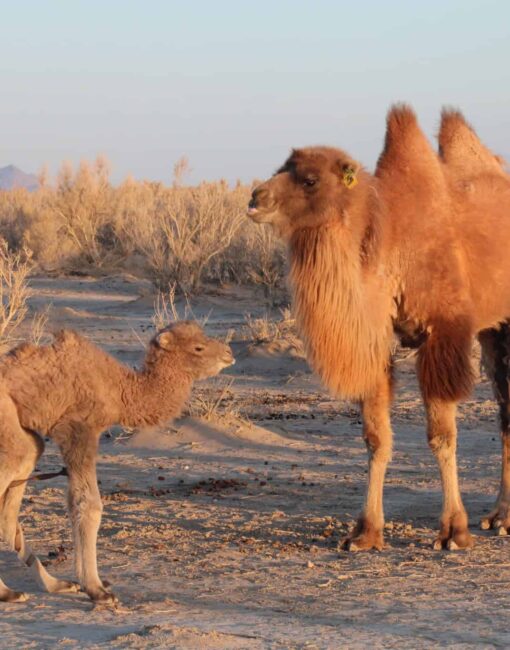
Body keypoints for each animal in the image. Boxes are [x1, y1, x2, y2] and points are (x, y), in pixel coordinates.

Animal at [0, 321, 234, 604]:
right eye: (198, 347)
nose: (229, 353)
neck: (118, 388)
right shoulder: (79, 429)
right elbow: (88, 505)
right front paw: (97, 589)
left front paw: (84, 585)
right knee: (19, 457)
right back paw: (7, 591)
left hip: (23, 434)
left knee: (21, 476)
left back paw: (51, 585)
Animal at [247, 104, 510, 552]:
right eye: (282, 167)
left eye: (310, 179)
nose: (254, 199)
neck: (392, 247)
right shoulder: (375, 340)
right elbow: (376, 438)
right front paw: (365, 532)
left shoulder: (441, 336)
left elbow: (442, 436)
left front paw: (453, 531)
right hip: (493, 328)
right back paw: (498, 515)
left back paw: (504, 517)